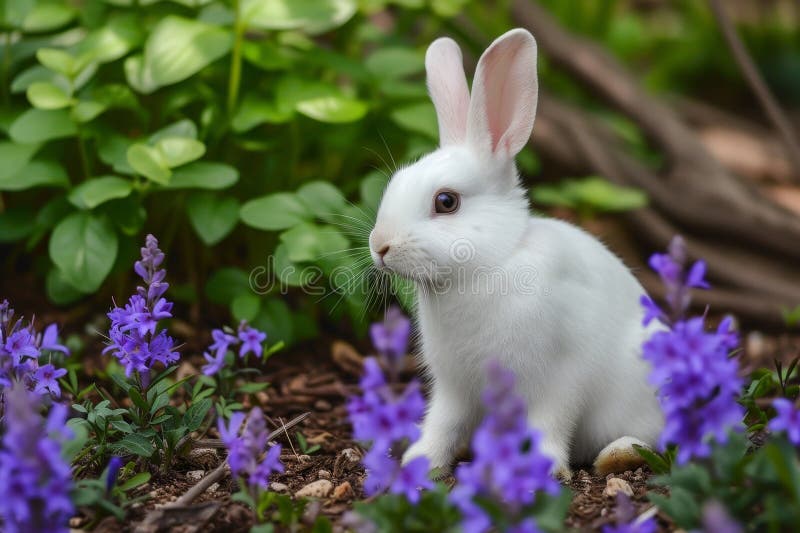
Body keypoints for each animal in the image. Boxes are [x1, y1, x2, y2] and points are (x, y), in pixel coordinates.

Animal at [367, 28, 664, 478]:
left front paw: (546, 470)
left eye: (446, 202)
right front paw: (420, 462)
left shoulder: (559, 379)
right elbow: (443, 423)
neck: (488, 265)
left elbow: (549, 424)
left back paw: (618, 454)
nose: (379, 245)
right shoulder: (455, 387)